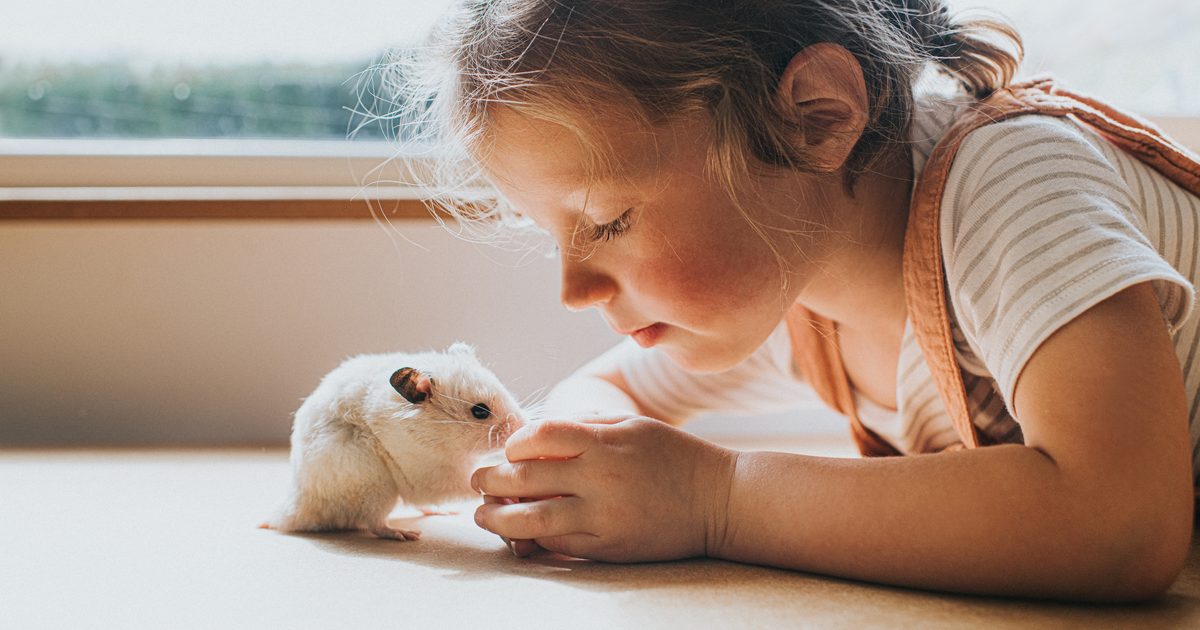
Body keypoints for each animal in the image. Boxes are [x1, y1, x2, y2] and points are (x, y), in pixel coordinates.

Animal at [262, 342, 525, 541]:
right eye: (480, 411)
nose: (520, 426)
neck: (441, 436)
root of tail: (296, 508)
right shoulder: (430, 474)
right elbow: (468, 482)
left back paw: (444, 513)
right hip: (375, 485)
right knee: (375, 524)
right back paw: (404, 534)